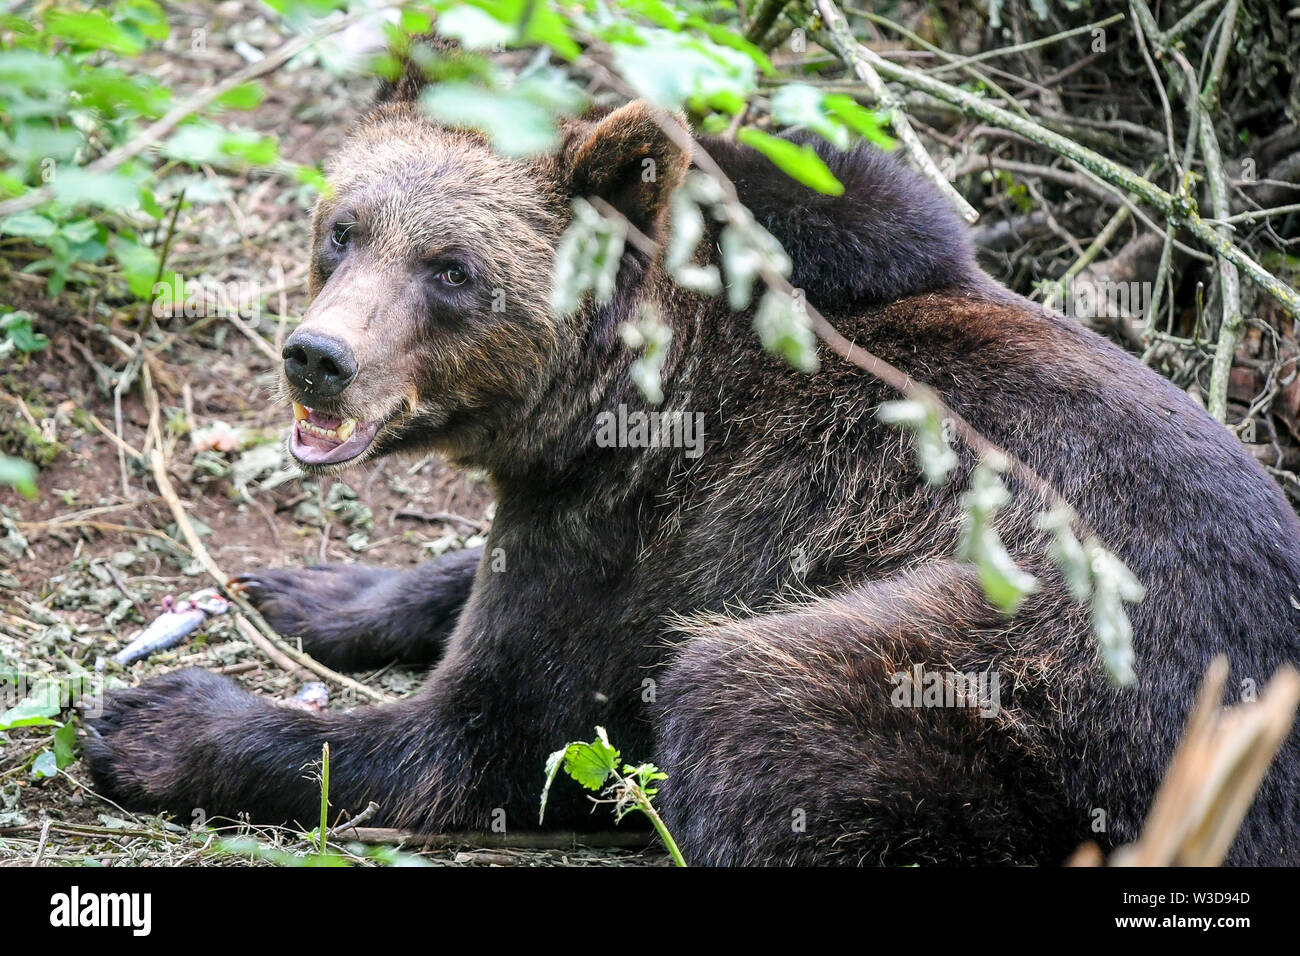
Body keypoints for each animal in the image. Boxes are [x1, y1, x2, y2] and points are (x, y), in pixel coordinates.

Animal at [82, 71, 1300, 865]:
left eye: (452, 268)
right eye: (343, 229)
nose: (319, 355)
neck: (618, 398)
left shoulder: (678, 515)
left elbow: (490, 734)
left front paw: (154, 720)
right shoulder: (595, 518)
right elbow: (481, 584)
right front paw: (311, 588)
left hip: (1047, 666)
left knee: (749, 698)